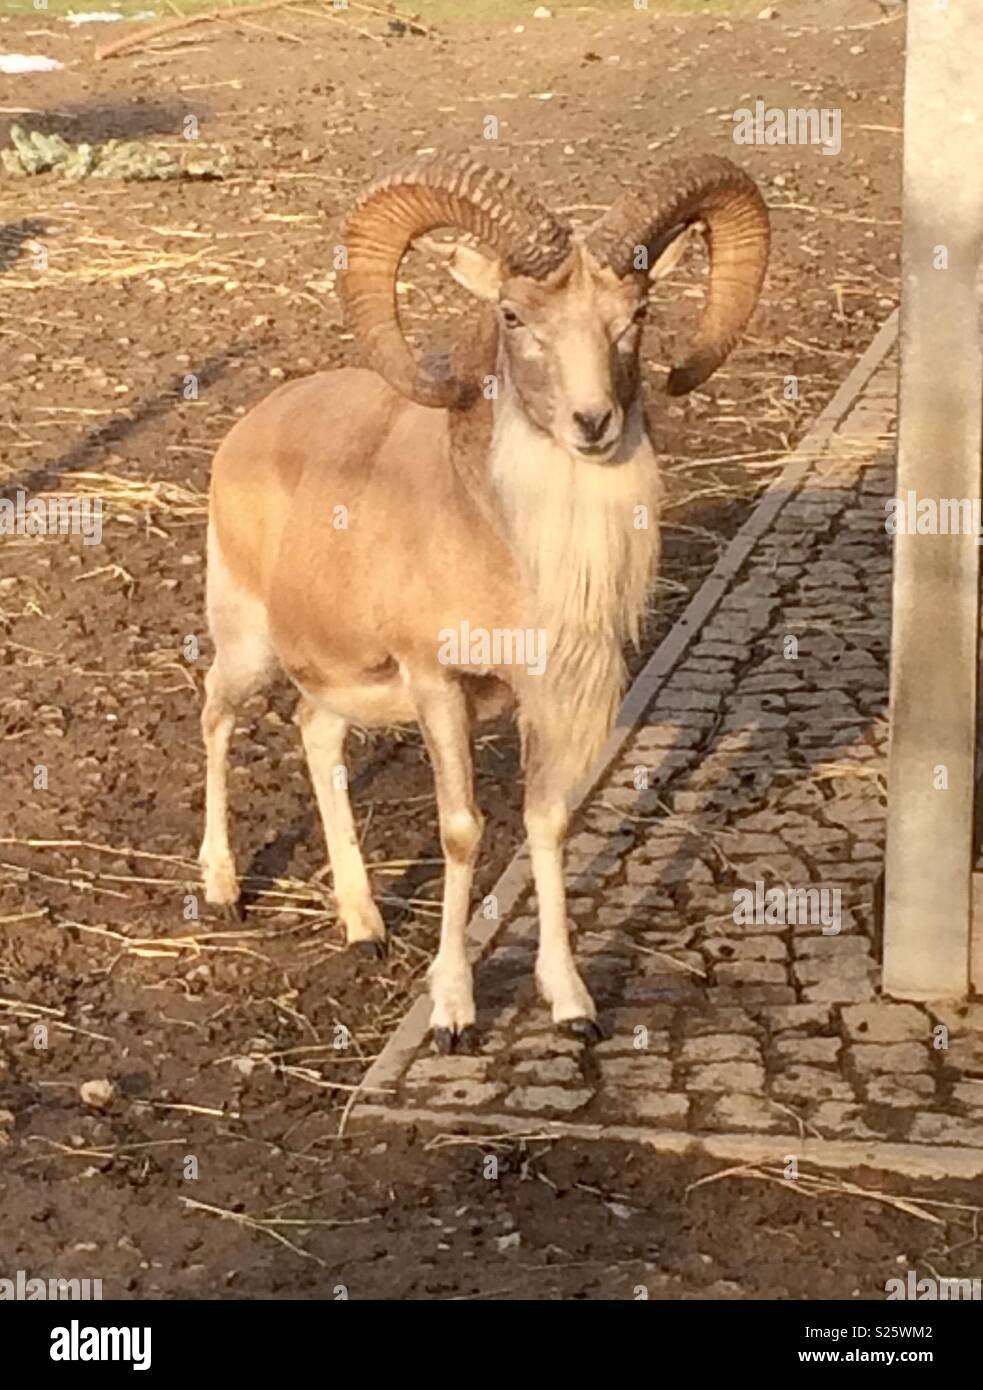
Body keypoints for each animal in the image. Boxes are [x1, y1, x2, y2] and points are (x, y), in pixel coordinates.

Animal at [199, 154, 769, 1051]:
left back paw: (363, 927)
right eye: (513, 314)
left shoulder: (541, 694)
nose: (592, 422)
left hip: (337, 682)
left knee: (314, 736)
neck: (509, 540)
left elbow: (545, 823)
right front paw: (453, 1015)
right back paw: (223, 890)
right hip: (247, 644)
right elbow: (462, 832)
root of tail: (246, 432)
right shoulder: (439, 687)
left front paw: (571, 1005)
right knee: (216, 715)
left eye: (636, 314)